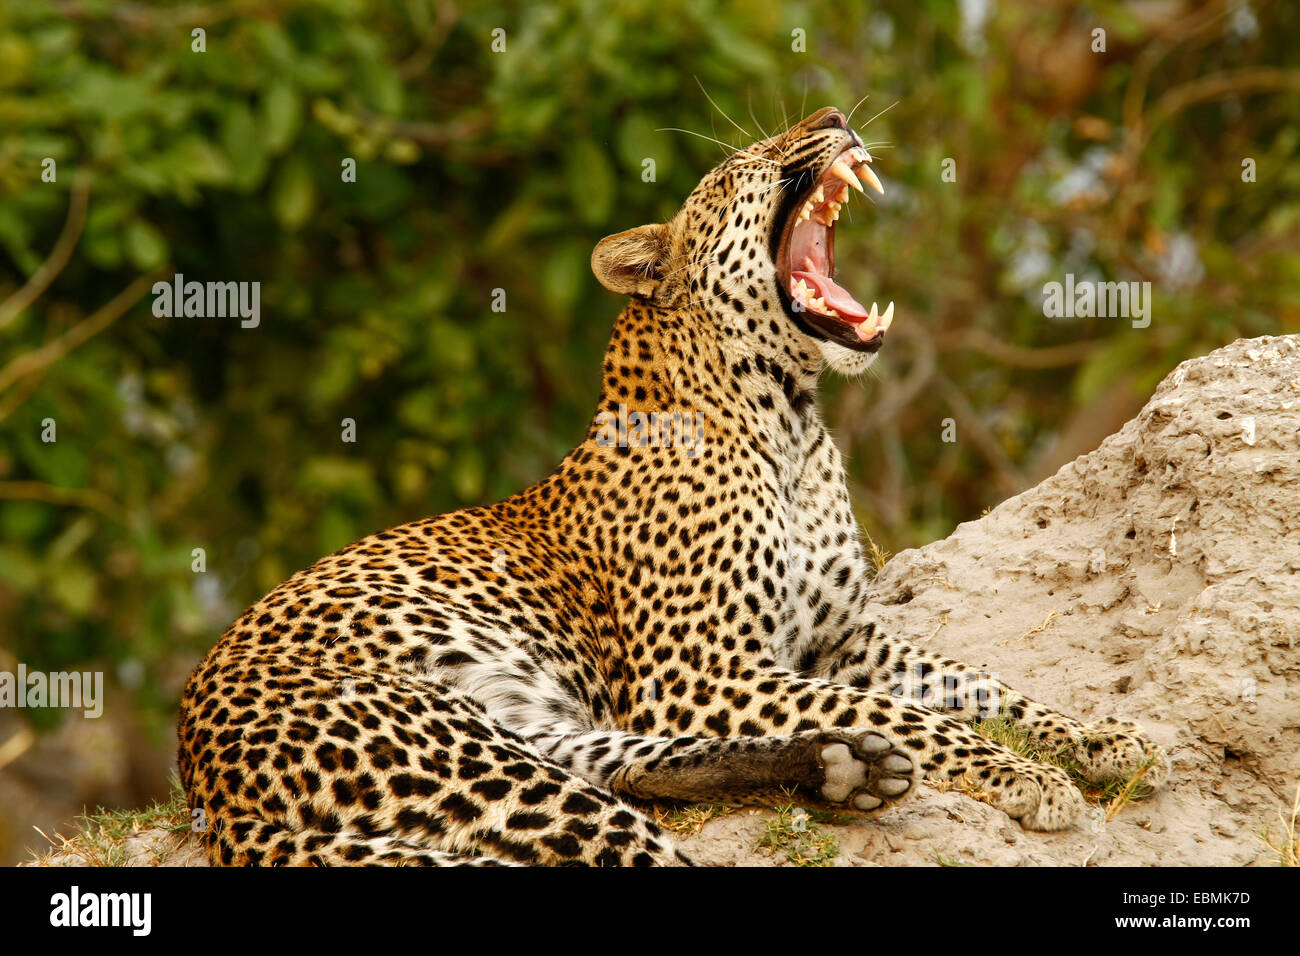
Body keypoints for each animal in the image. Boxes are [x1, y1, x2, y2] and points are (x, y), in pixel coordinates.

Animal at [177, 107, 1169, 866]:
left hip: (537, 724)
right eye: (743, 163)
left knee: (636, 766)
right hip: (457, 743)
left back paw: (840, 766)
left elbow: (979, 685)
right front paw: (1029, 776)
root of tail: (204, 778)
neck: (791, 423)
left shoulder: (840, 640)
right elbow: (918, 713)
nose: (834, 114)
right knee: (634, 838)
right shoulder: (704, 667)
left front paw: (1095, 739)